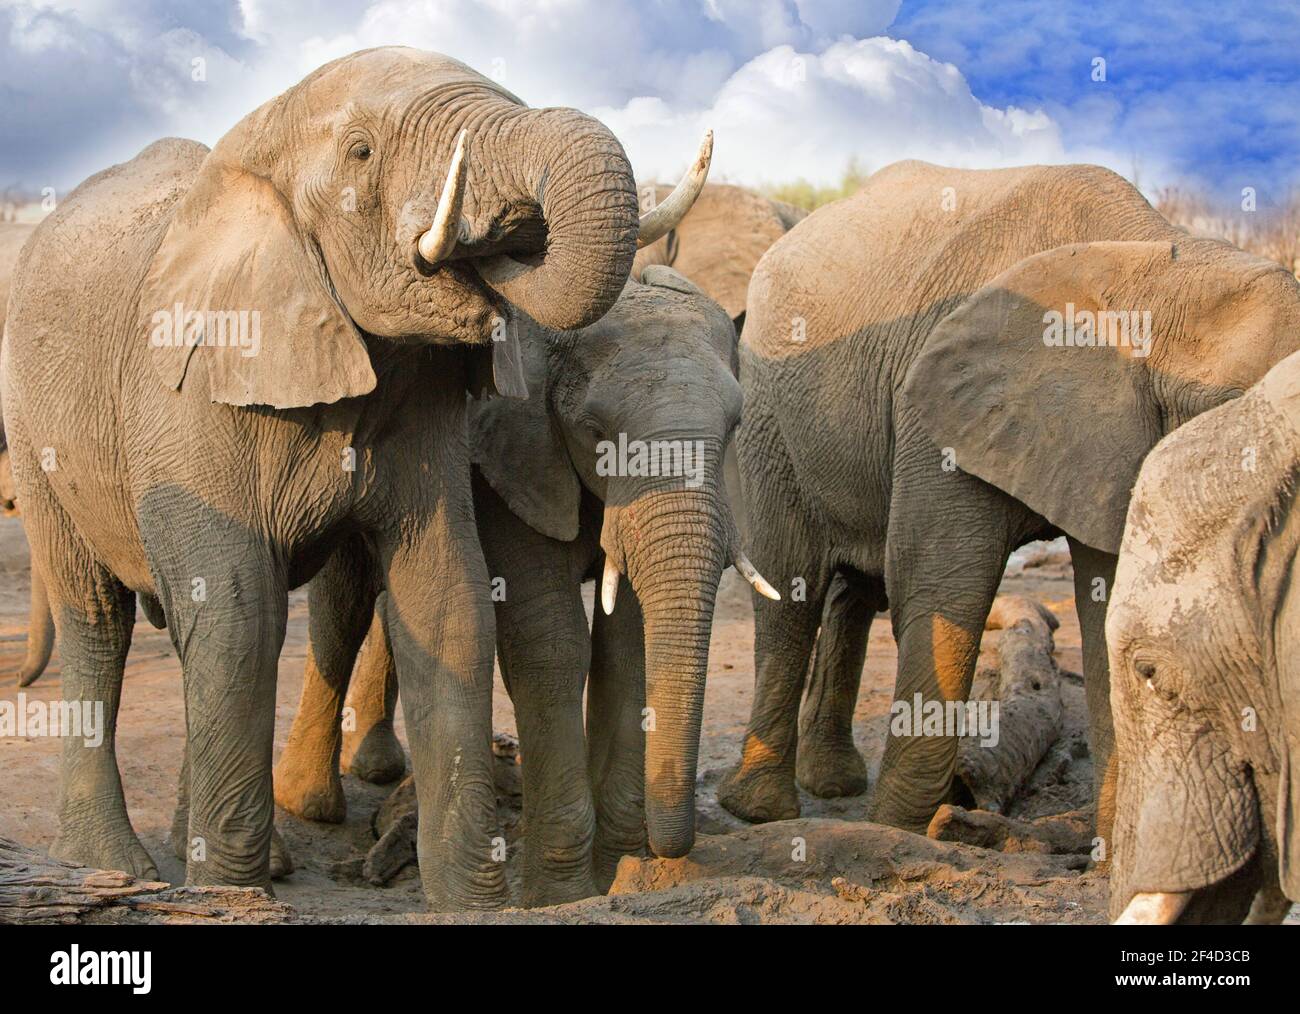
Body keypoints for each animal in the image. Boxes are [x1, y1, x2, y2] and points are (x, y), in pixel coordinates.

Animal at [0, 46, 711, 909]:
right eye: (362, 152)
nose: (506, 237)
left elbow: (448, 602)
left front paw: (468, 905)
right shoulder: (186, 390)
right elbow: (237, 610)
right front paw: (232, 898)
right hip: (33, 423)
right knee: (98, 617)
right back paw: (116, 862)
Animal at [274, 264, 772, 904]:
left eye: (734, 427)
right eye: (594, 431)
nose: (666, 851)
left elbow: (627, 646)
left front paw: (618, 871)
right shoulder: (502, 461)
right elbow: (551, 640)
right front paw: (563, 893)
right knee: (344, 607)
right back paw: (310, 803)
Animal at [717, 159, 1300, 842]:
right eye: (1232, 412)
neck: (1152, 259)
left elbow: (1112, 608)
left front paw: (1109, 849)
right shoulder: (938, 408)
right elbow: (944, 588)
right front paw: (901, 833)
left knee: (853, 588)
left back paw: (832, 785)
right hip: (768, 416)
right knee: (793, 586)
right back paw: (760, 809)